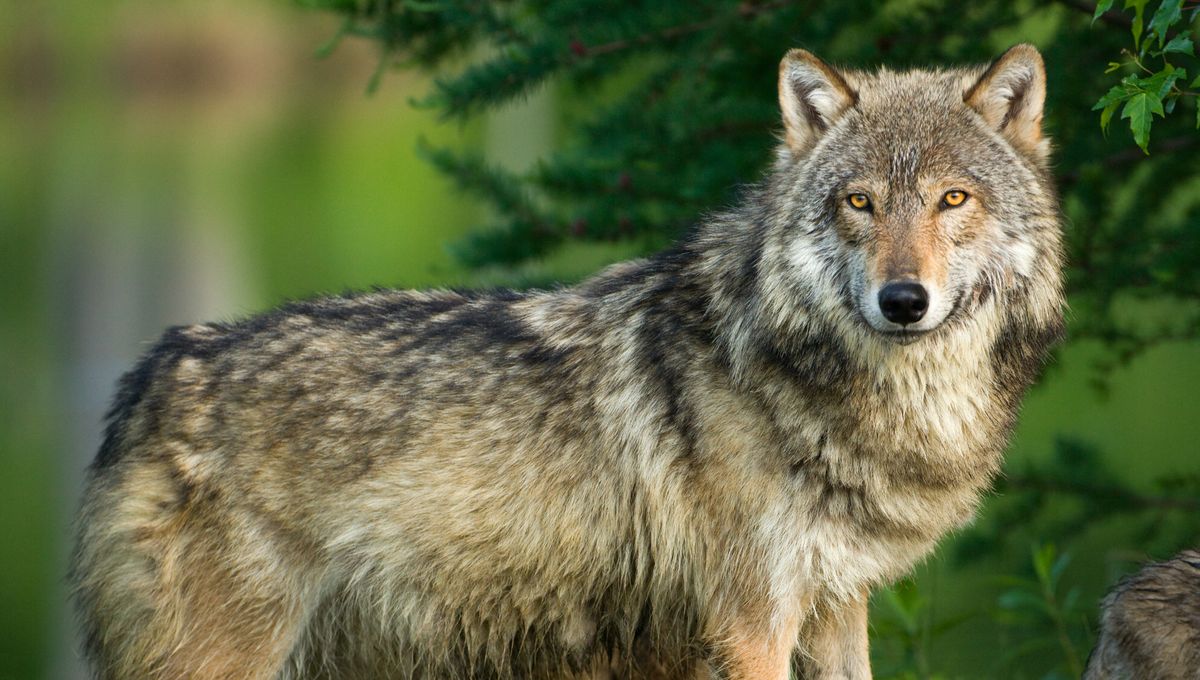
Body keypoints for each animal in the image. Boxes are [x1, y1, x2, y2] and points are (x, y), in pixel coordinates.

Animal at [71, 44, 1064, 679]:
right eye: (859, 202)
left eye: (953, 199)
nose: (904, 301)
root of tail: (158, 367)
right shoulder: (750, 625)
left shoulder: (834, 604)